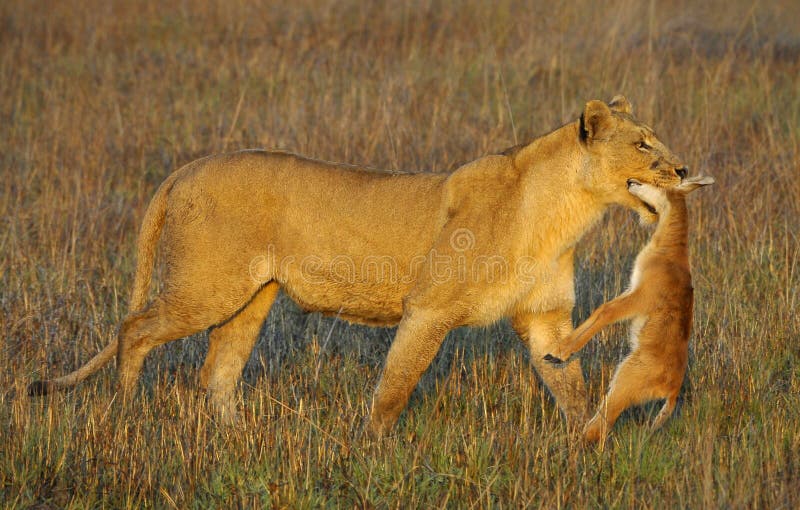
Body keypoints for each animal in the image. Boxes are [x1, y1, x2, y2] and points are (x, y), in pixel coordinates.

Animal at [29, 96, 689, 436]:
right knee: (134, 331)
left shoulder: (546, 317)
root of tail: (184, 169)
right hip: (205, 287)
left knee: (216, 370)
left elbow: (569, 385)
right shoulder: (429, 308)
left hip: (252, 296)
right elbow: (395, 387)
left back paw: (238, 435)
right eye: (642, 144)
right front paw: (371, 447)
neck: (565, 212)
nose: (683, 169)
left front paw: (585, 444)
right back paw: (125, 413)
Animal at [545, 176, 713, 444]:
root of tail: (673, 390)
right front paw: (556, 352)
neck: (670, 253)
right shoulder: (630, 290)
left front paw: (558, 353)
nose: (632, 181)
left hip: (622, 384)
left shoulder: (639, 297)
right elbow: (600, 311)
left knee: (599, 428)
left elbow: (605, 311)